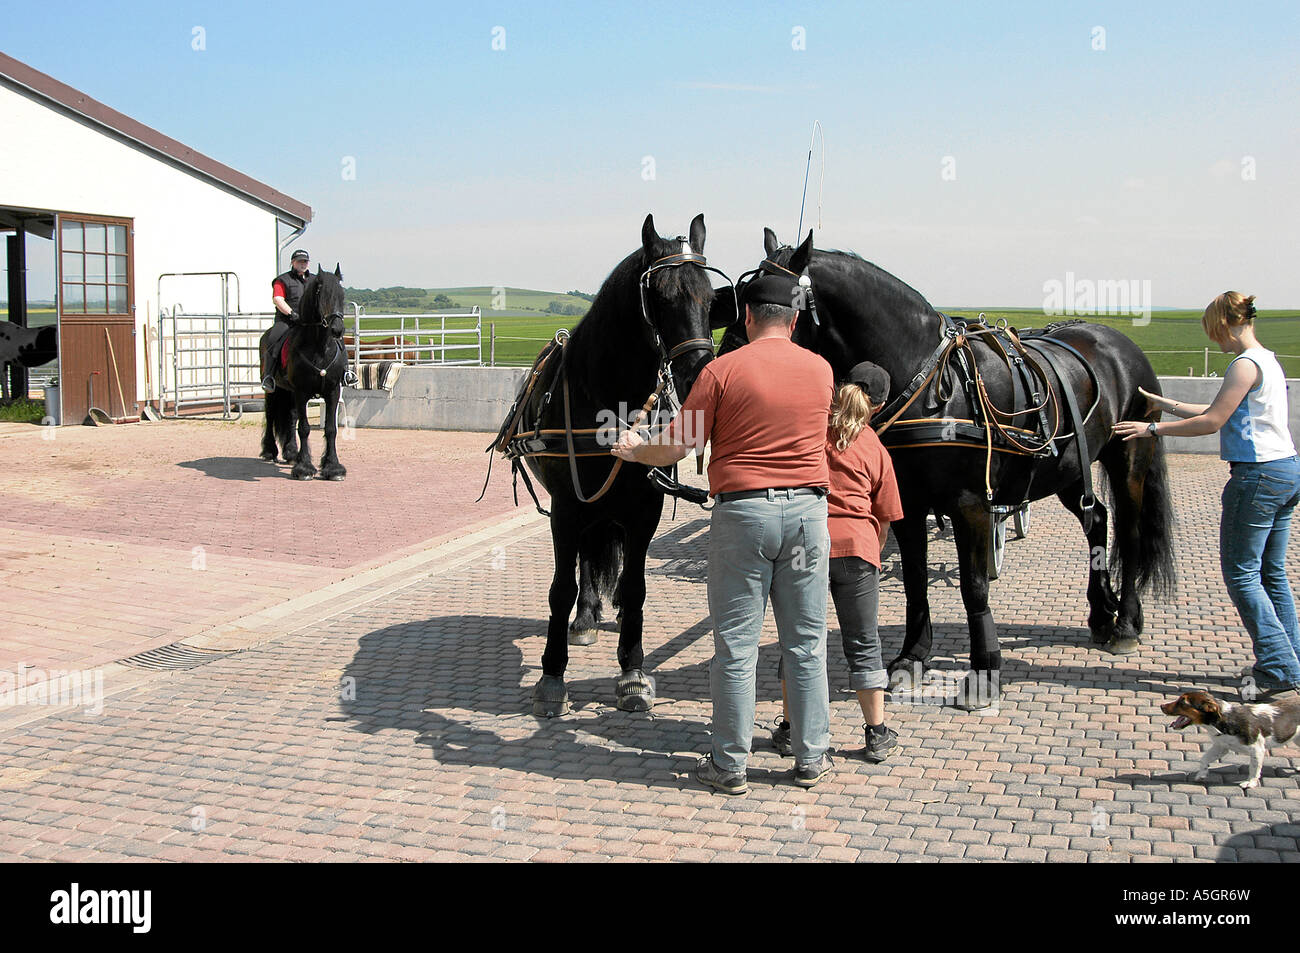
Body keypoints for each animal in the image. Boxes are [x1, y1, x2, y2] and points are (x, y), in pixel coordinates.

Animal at [258, 265, 349, 481]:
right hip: (273, 390)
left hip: (290, 392)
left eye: (342, 294)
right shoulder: (301, 392)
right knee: (271, 414)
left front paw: (333, 467)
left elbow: (330, 429)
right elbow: (305, 428)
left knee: (291, 418)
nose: (337, 329)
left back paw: (291, 453)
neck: (320, 348)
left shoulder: (332, 391)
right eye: (321, 294)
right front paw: (305, 468)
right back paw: (270, 451)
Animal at [498, 213, 720, 717]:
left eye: (712, 298)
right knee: (585, 556)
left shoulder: (644, 507)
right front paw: (552, 673)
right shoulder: (566, 507)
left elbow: (637, 587)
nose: (699, 374)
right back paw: (585, 617)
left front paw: (633, 671)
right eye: (660, 298)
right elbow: (561, 587)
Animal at [715, 229, 1176, 704]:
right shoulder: (908, 503)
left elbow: (974, 586)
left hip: (1129, 456)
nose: (723, 360)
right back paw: (1101, 614)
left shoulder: (971, 505)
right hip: (1068, 469)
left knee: (1129, 530)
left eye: (775, 304)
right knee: (1096, 521)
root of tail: (1119, 343)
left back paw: (1125, 623)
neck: (925, 379)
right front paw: (912, 656)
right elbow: (915, 579)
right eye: (740, 296)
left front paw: (985, 667)